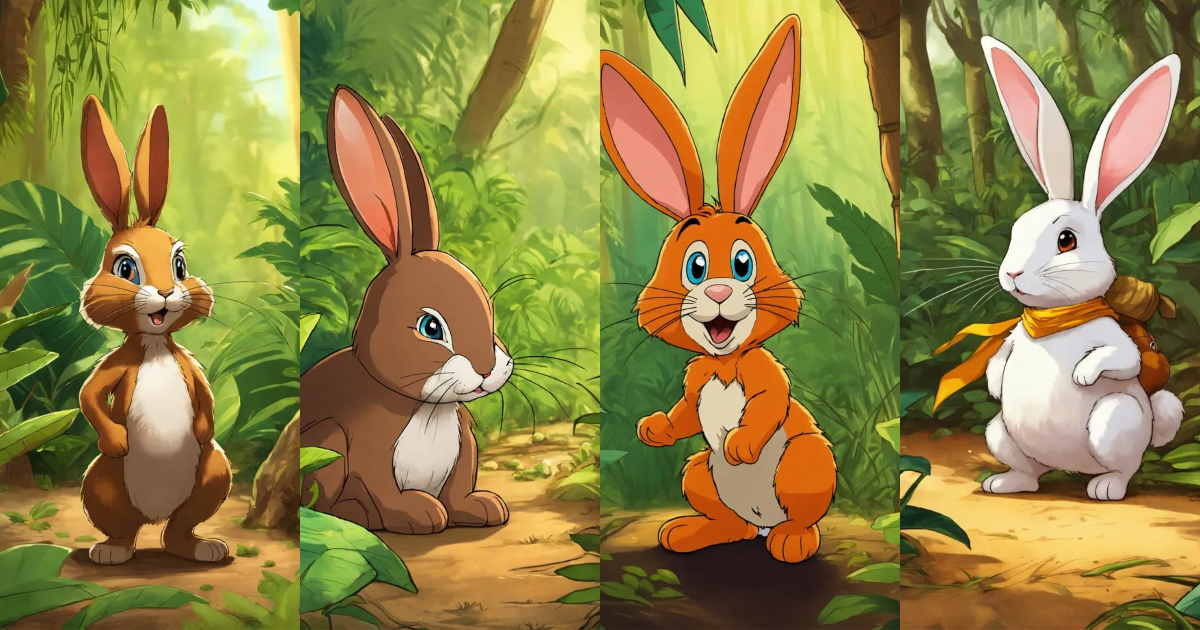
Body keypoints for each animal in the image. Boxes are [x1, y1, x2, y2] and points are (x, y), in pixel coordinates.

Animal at [76, 95, 230, 565]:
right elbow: (89, 395)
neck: (156, 345)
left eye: (180, 265)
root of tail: (154, 518)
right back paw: (112, 551)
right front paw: (115, 439)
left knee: (180, 528)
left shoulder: (188, 365)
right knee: (122, 529)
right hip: (101, 486)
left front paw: (203, 430)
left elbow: (206, 396)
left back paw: (200, 548)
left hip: (213, 473)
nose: (165, 292)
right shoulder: (119, 362)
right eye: (125, 268)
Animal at [298, 86, 511, 534]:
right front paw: (419, 514)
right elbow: (382, 488)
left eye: (488, 308)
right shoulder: (367, 447)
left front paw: (482, 506)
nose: (487, 369)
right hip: (328, 442)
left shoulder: (464, 446)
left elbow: (459, 487)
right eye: (431, 327)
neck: (429, 407)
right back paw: (356, 514)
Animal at [599, 15, 836, 564]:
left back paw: (794, 541)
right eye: (695, 267)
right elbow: (686, 414)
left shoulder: (761, 369)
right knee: (729, 519)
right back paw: (690, 533)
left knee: (801, 514)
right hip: (698, 472)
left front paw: (742, 444)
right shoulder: (695, 377)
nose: (720, 294)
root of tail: (766, 524)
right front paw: (655, 428)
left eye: (743, 263)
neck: (725, 364)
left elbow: (769, 401)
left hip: (805, 461)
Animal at [973, 36, 1183, 501]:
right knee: (1030, 473)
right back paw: (1004, 482)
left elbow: (1124, 359)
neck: (1054, 319)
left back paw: (1105, 488)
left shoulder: (1114, 339)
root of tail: (1067, 468)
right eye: (1017, 229)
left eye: (1066, 240)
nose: (1012, 274)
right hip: (1000, 431)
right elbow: (1002, 355)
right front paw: (995, 382)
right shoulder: (1015, 337)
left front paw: (1083, 374)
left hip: (1116, 420)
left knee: (1123, 466)